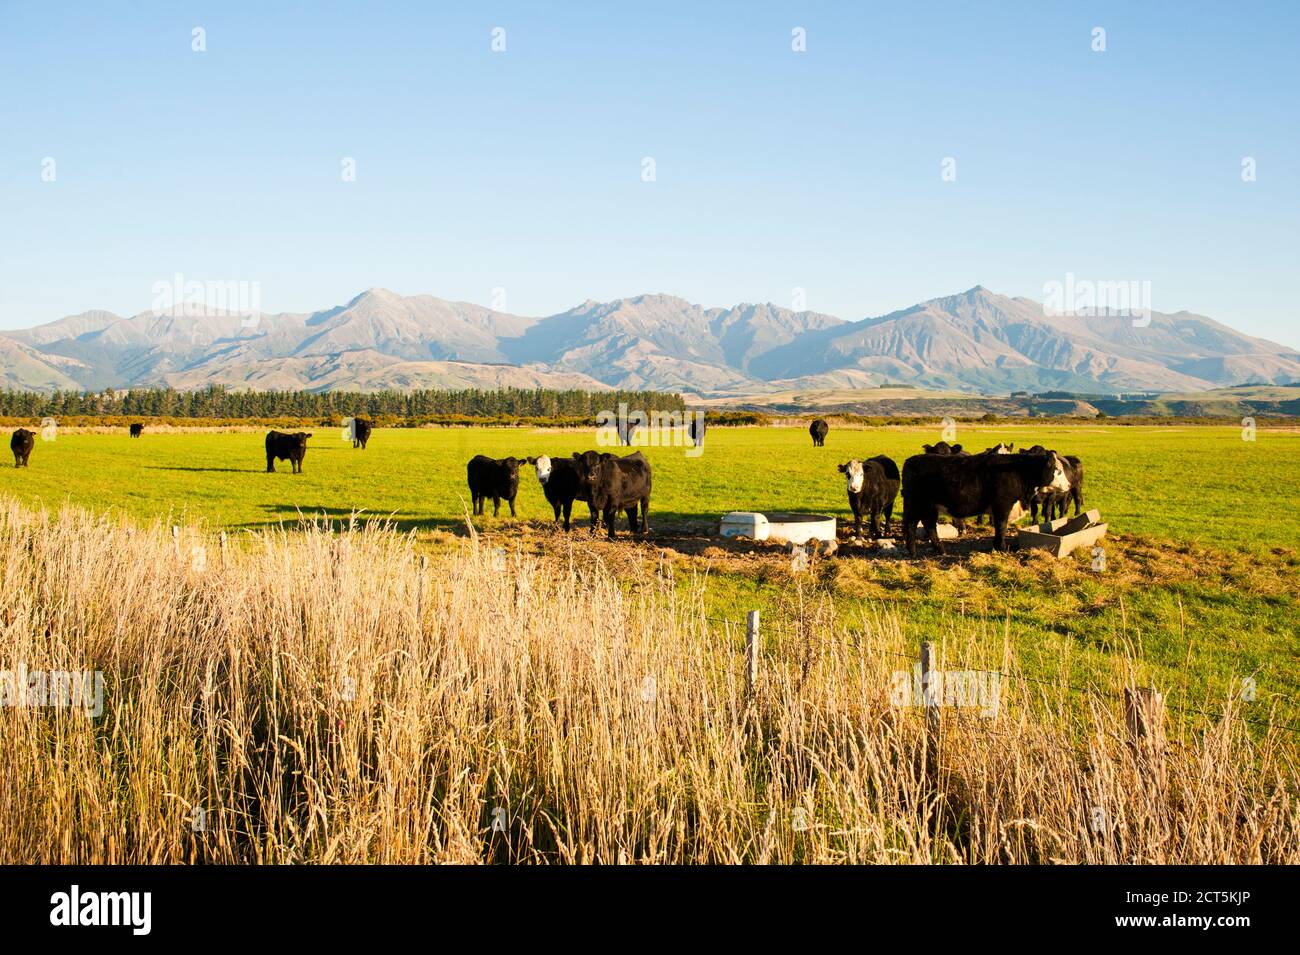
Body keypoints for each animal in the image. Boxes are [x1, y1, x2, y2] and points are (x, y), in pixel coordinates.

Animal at [902, 451, 1069, 556]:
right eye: (1058, 470)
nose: (1068, 485)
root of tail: (910, 461)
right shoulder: (1002, 506)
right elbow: (1001, 527)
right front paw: (1002, 548)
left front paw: (997, 547)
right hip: (916, 504)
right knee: (911, 525)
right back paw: (913, 553)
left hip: (929, 507)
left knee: (929, 525)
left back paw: (940, 550)